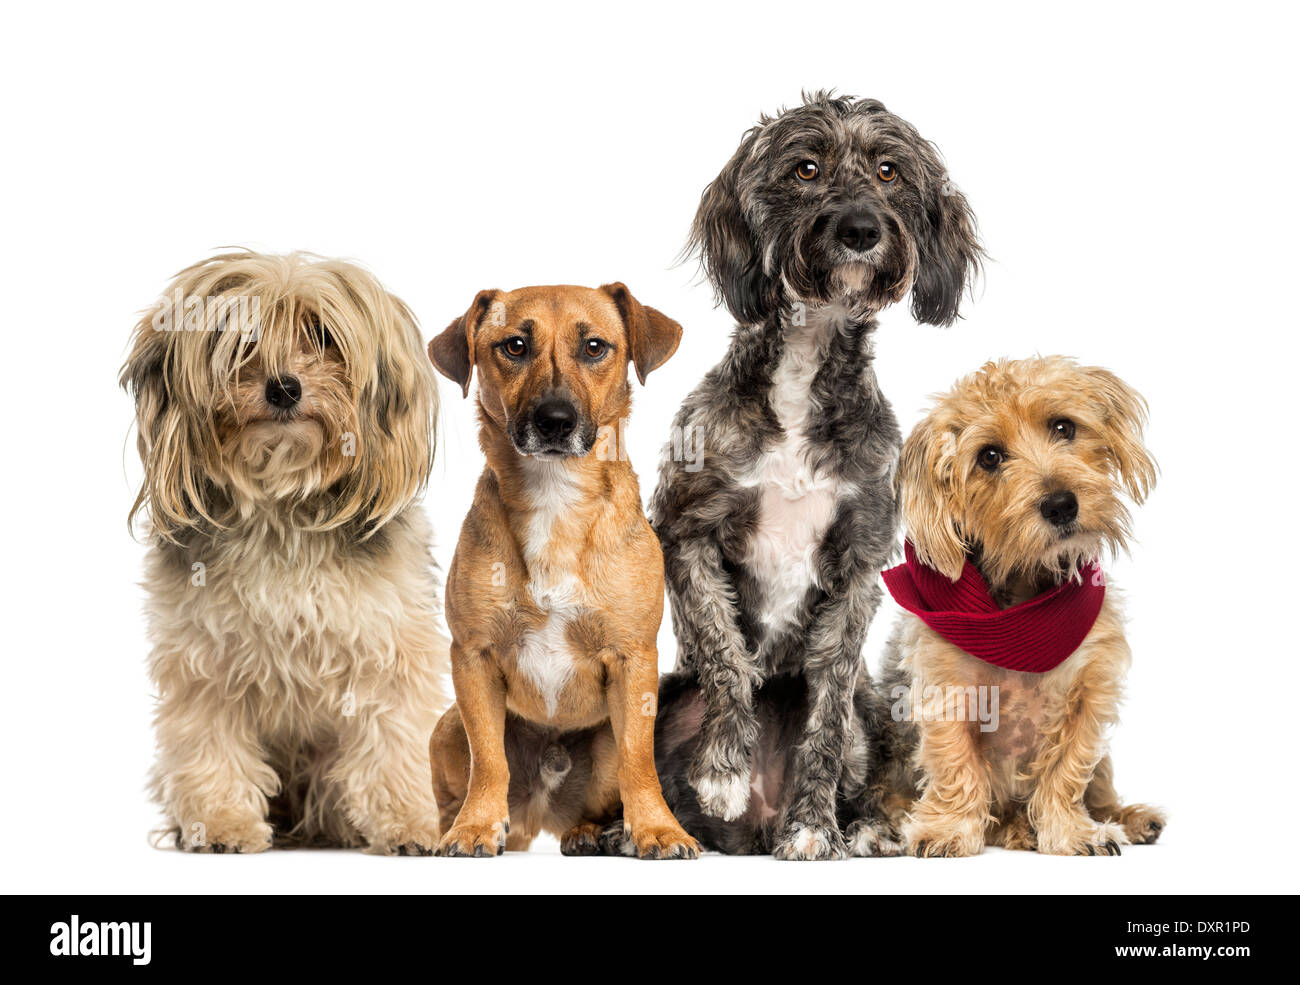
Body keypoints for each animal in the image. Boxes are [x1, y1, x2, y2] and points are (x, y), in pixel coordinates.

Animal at [428, 281, 702, 862]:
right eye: (514, 346)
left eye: (595, 347)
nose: (555, 420)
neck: (555, 498)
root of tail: (539, 816)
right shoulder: (472, 657)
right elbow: (489, 761)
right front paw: (475, 826)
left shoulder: (634, 660)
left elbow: (638, 762)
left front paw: (658, 829)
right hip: (446, 728)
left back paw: (593, 834)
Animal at [883, 356, 1170, 857]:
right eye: (989, 457)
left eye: (1063, 426)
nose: (1060, 504)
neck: (1022, 605)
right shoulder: (945, 690)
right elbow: (956, 764)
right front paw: (949, 829)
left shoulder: (1090, 692)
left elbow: (1068, 769)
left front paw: (1073, 832)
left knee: (1101, 790)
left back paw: (1126, 819)